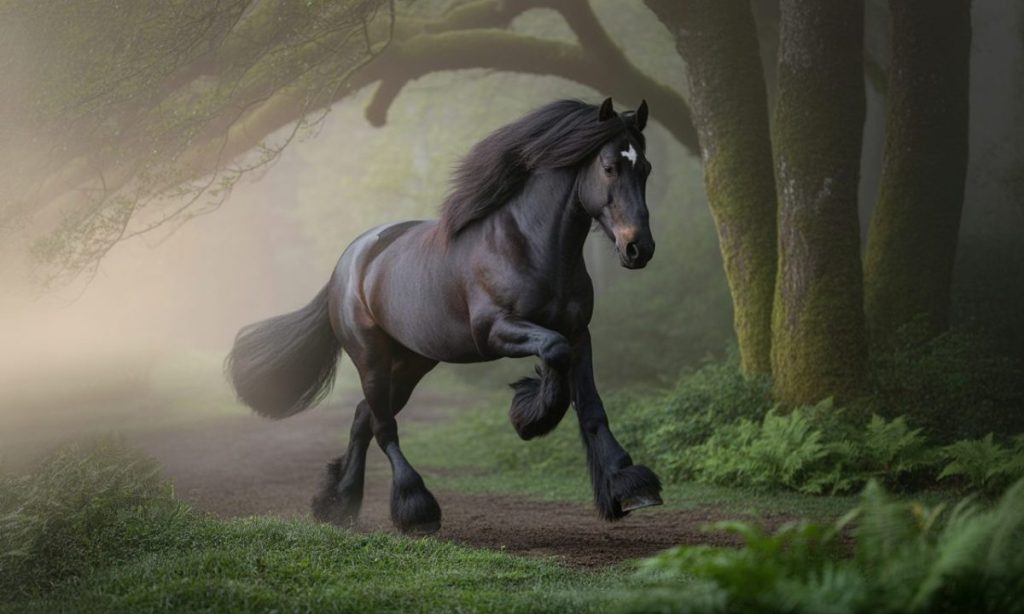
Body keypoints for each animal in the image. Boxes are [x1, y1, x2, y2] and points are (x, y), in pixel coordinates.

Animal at [226, 98, 663, 534]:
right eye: (609, 167)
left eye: (645, 167)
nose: (638, 248)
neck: (529, 245)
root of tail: (348, 261)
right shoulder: (496, 331)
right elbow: (553, 354)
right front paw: (530, 416)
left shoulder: (578, 333)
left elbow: (591, 407)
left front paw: (629, 484)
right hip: (370, 357)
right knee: (383, 426)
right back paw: (415, 509)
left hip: (411, 363)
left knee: (363, 418)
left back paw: (339, 503)